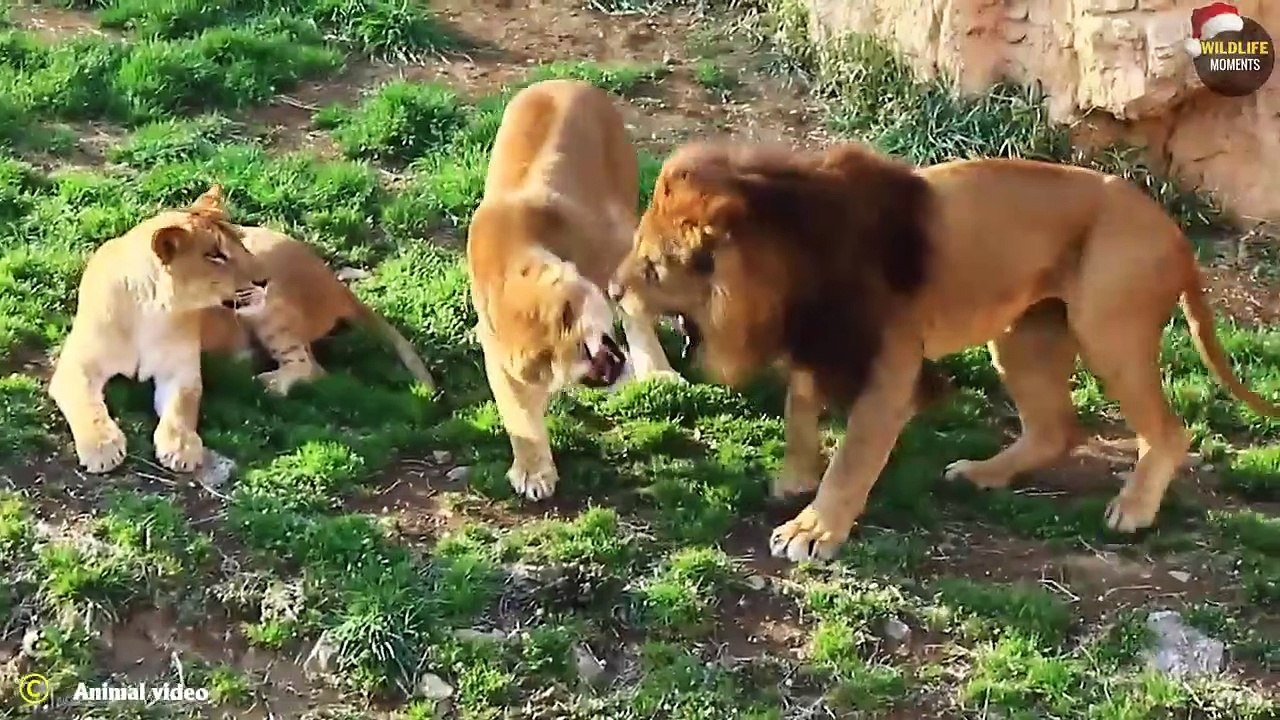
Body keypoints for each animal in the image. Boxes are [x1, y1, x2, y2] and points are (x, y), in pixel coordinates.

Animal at [48, 185, 269, 474]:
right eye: (215, 255)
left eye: (241, 244)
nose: (265, 280)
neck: (152, 309)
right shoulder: (78, 365)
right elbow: (86, 404)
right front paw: (102, 447)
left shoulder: (181, 370)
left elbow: (182, 407)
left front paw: (181, 448)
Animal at [466, 78, 684, 501]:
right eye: (544, 368)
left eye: (583, 346)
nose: (602, 372)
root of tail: (563, 79)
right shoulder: (500, 354)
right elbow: (518, 413)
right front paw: (533, 473)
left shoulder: (620, 249)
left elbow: (638, 309)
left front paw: (659, 371)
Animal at [608, 139, 1280, 562]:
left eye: (652, 265)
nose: (613, 290)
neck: (792, 264)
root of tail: (1175, 233)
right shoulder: (820, 339)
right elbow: (800, 410)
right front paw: (795, 478)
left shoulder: (890, 361)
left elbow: (854, 456)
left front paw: (814, 529)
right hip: (1024, 335)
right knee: (1057, 428)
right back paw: (980, 475)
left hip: (1107, 327)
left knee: (1167, 430)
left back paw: (1133, 510)